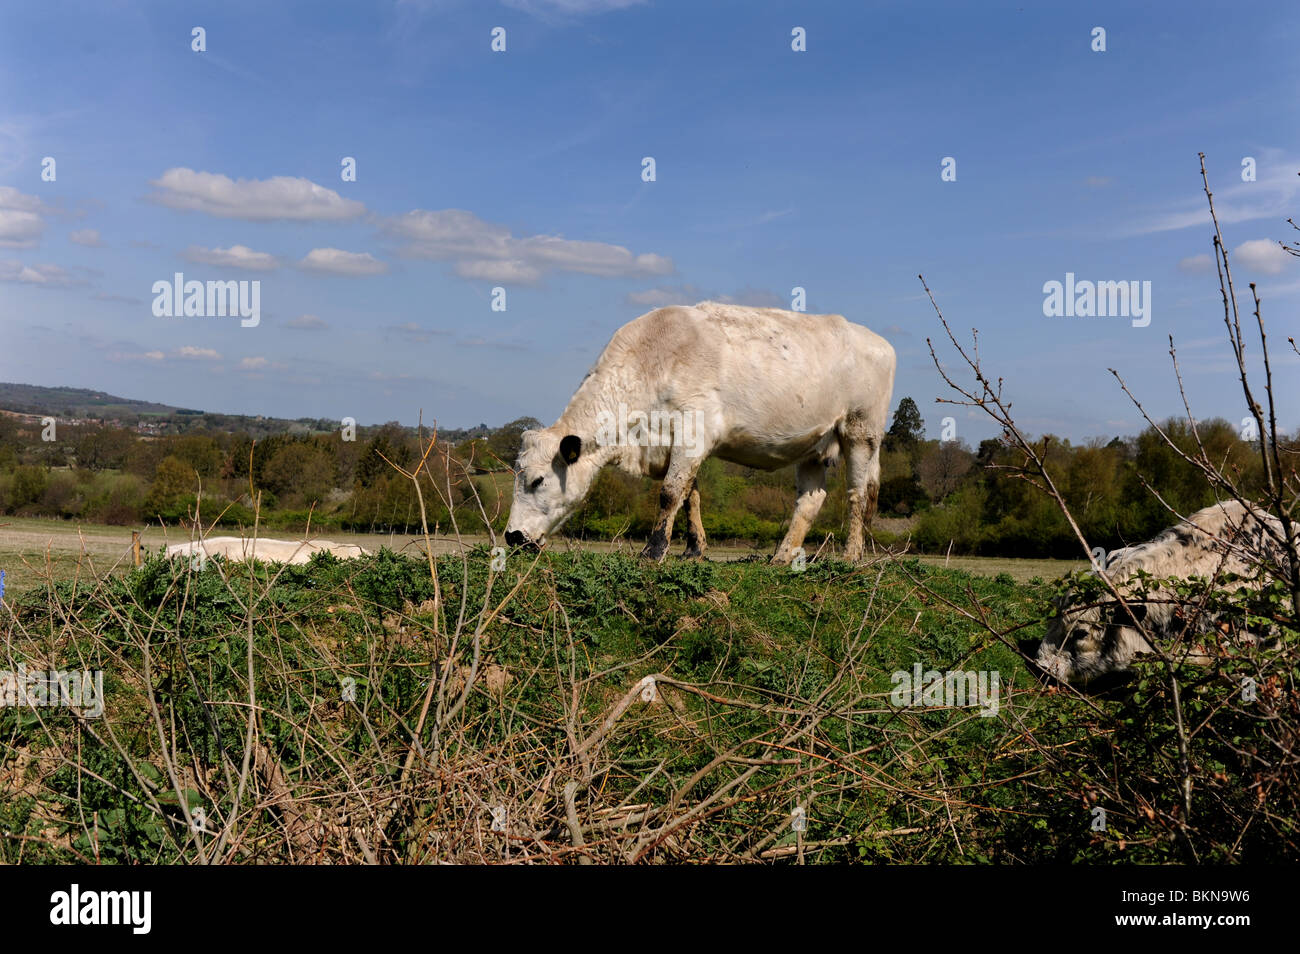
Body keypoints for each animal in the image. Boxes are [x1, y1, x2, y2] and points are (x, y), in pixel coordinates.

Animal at [504, 301, 897, 563]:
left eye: (538, 480)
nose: (512, 537)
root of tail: (878, 341)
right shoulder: (676, 443)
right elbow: (690, 495)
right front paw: (693, 550)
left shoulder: (695, 428)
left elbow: (669, 493)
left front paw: (653, 552)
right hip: (815, 444)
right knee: (811, 499)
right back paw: (781, 558)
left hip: (861, 431)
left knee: (857, 495)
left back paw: (851, 556)